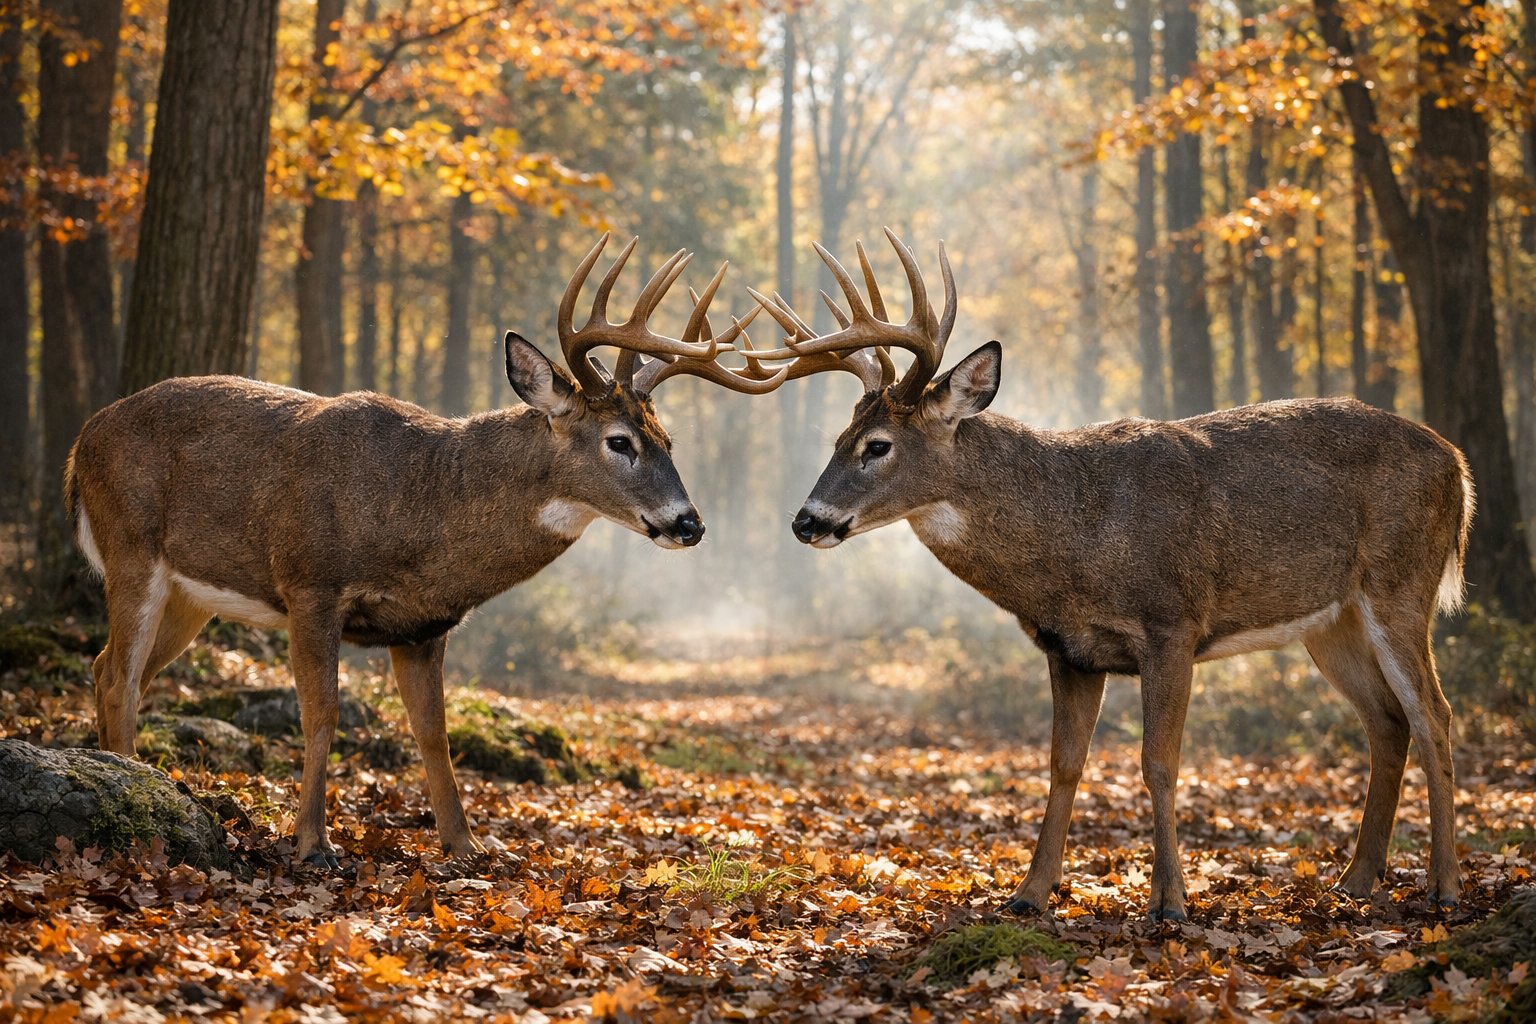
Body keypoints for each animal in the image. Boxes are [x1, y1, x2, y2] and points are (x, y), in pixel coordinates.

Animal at [65, 234, 789, 871]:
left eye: (668, 438)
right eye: (620, 441)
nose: (689, 523)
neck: (420, 512)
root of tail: (81, 441)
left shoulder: (423, 626)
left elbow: (434, 735)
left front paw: (467, 846)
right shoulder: (309, 583)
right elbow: (321, 714)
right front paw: (314, 845)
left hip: (192, 595)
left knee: (112, 670)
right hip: (131, 547)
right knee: (118, 673)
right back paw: (133, 783)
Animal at [749, 229, 1472, 921]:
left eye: (878, 446)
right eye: (837, 439)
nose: (807, 521)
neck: (1078, 537)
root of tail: (1457, 465)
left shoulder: (1173, 624)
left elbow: (1159, 763)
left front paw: (1170, 902)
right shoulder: (1070, 649)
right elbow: (1063, 765)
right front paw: (1029, 894)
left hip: (1401, 582)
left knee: (1433, 713)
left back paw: (1444, 888)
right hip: (1329, 621)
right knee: (1388, 722)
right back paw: (1355, 881)